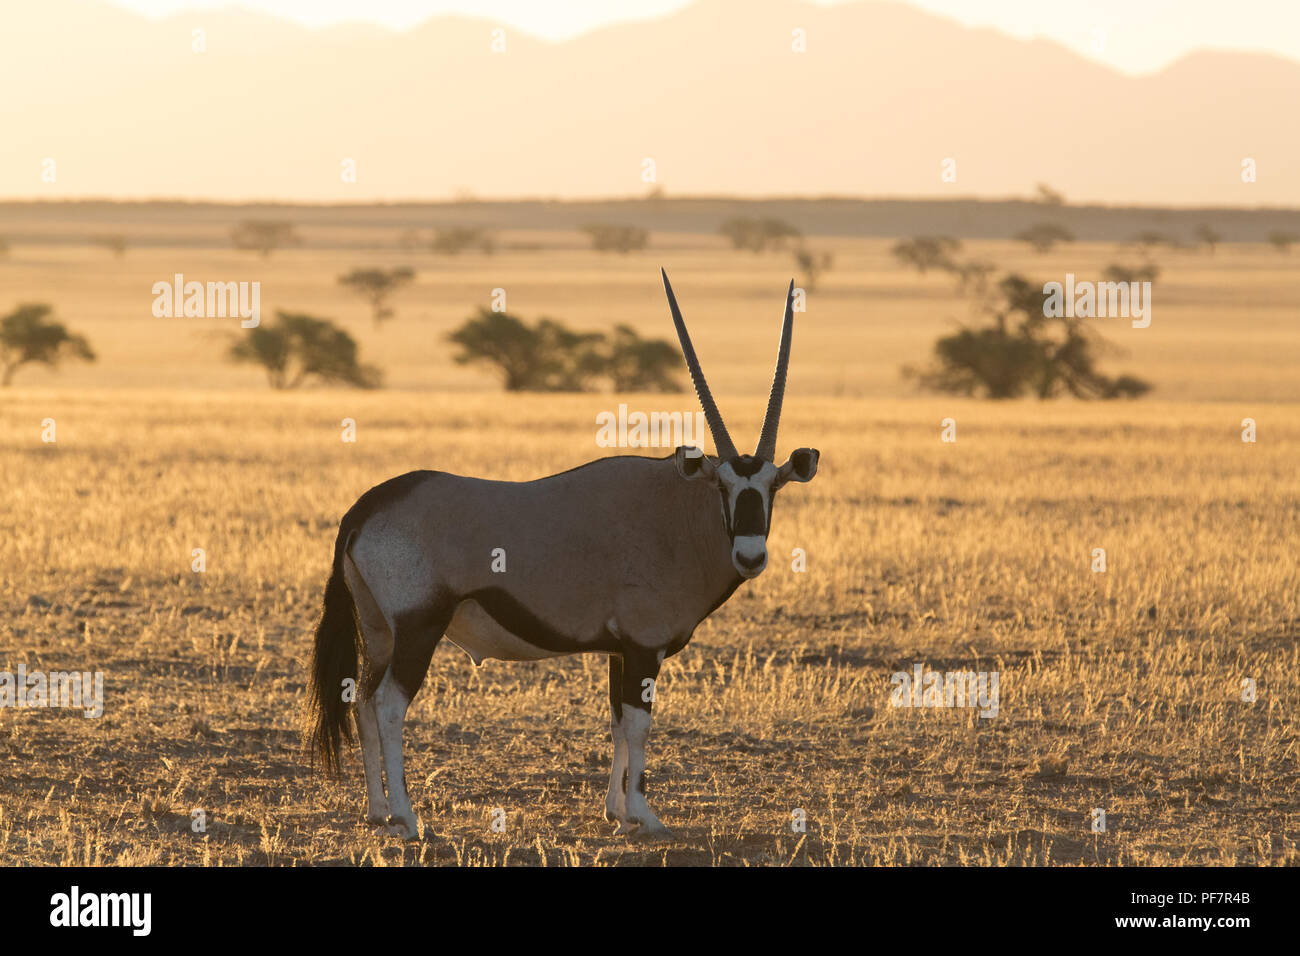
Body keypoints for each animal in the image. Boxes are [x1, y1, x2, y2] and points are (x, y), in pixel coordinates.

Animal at [306, 270, 820, 839]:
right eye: (724, 487)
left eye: (772, 487)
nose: (751, 556)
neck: (676, 512)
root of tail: (364, 508)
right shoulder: (644, 647)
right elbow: (638, 725)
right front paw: (645, 814)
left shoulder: (620, 650)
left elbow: (617, 723)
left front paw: (616, 811)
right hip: (418, 627)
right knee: (389, 705)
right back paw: (407, 815)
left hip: (378, 631)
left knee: (362, 704)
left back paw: (377, 810)